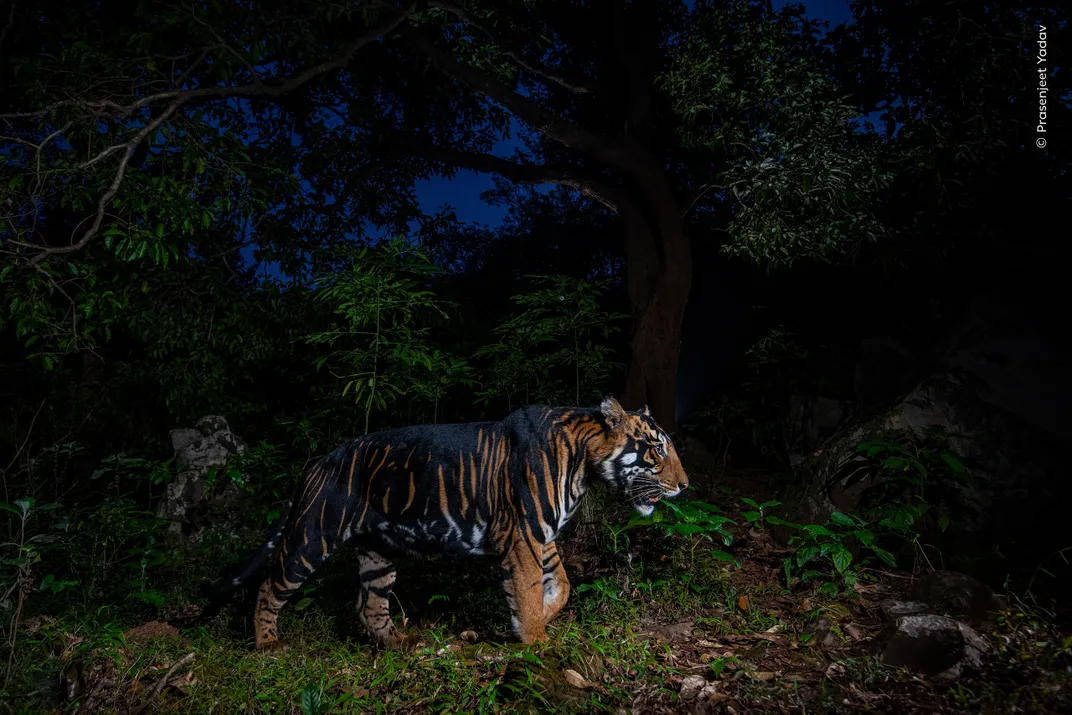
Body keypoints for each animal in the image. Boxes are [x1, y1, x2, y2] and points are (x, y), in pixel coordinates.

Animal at [200, 396, 688, 650]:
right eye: (657, 449)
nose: (685, 486)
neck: (584, 466)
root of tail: (321, 460)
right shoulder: (524, 535)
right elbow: (529, 591)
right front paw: (535, 640)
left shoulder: (539, 534)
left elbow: (562, 584)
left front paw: (546, 615)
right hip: (310, 536)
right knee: (269, 586)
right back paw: (267, 645)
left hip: (378, 553)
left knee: (369, 606)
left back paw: (401, 643)